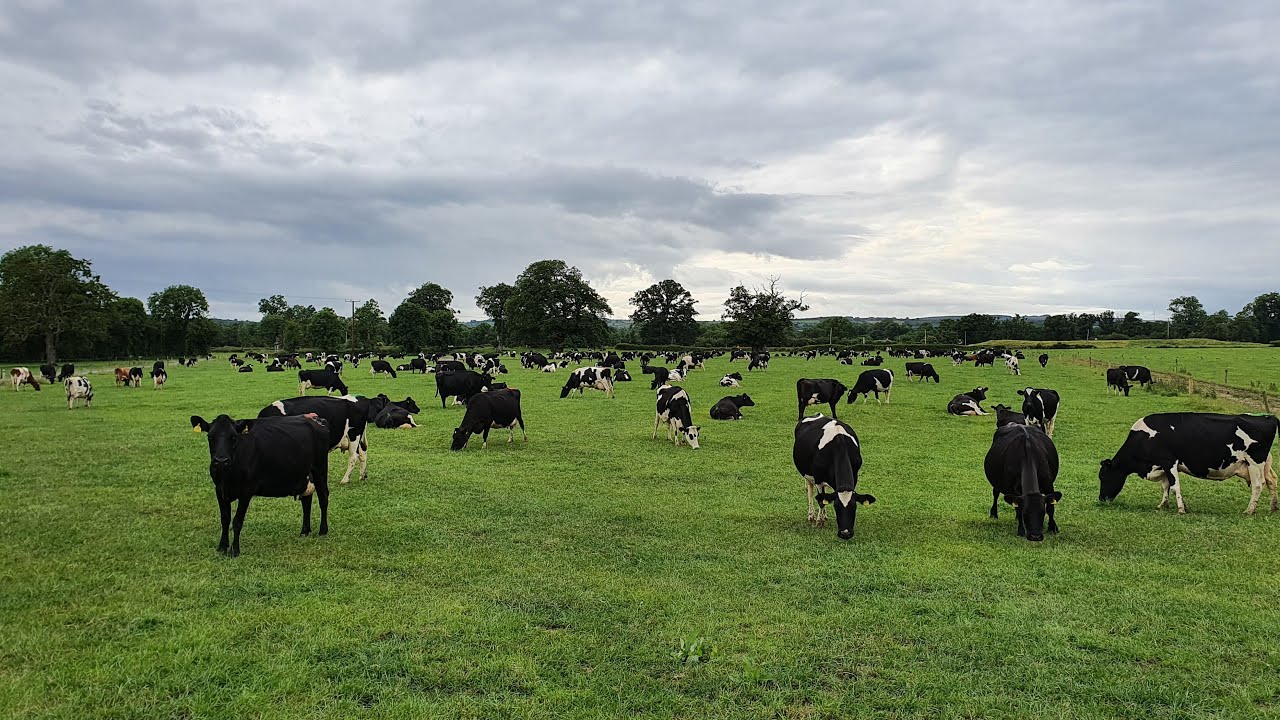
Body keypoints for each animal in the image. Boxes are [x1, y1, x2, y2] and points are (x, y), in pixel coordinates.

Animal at [190, 413, 330, 557]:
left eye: (234, 437)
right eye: (210, 437)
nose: (221, 460)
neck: (228, 476)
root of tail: (315, 419)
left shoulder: (246, 491)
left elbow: (237, 521)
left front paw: (234, 550)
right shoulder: (219, 490)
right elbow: (225, 519)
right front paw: (222, 547)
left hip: (320, 468)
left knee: (323, 498)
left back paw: (323, 531)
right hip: (304, 475)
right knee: (306, 500)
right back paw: (305, 532)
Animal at [258, 394, 388, 484]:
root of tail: (360, 398)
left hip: (354, 434)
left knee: (353, 457)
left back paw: (345, 480)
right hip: (357, 437)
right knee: (362, 453)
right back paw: (362, 475)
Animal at [1099, 413, 1280, 515]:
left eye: (1103, 477)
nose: (1101, 499)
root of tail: (1268, 417)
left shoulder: (1169, 461)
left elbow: (1174, 486)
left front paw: (1181, 509)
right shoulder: (1163, 465)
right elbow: (1165, 486)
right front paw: (1163, 505)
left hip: (1254, 462)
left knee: (1258, 485)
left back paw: (1249, 511)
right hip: (1262, 464)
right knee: (1272, 480)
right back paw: (1273, 508)